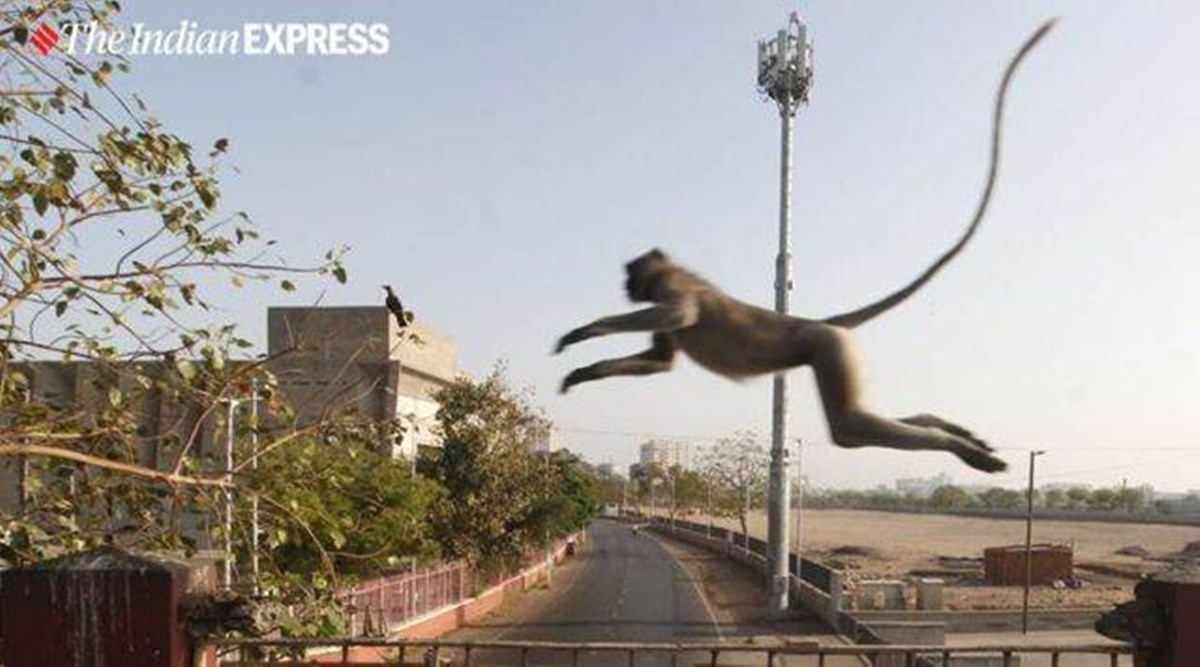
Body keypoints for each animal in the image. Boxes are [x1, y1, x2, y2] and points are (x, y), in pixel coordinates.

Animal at [553, 20, 1057, 474]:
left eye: (629, 274)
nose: (625, 285)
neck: (673, 271)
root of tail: (818, 322)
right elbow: (660, 361)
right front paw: (583, 373)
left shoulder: (674, 288)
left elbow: (679, 316)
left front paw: (584, 331)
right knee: (857, 424)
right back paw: (955, 432)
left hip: (828, 349)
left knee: (848, 427)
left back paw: (958, 446)